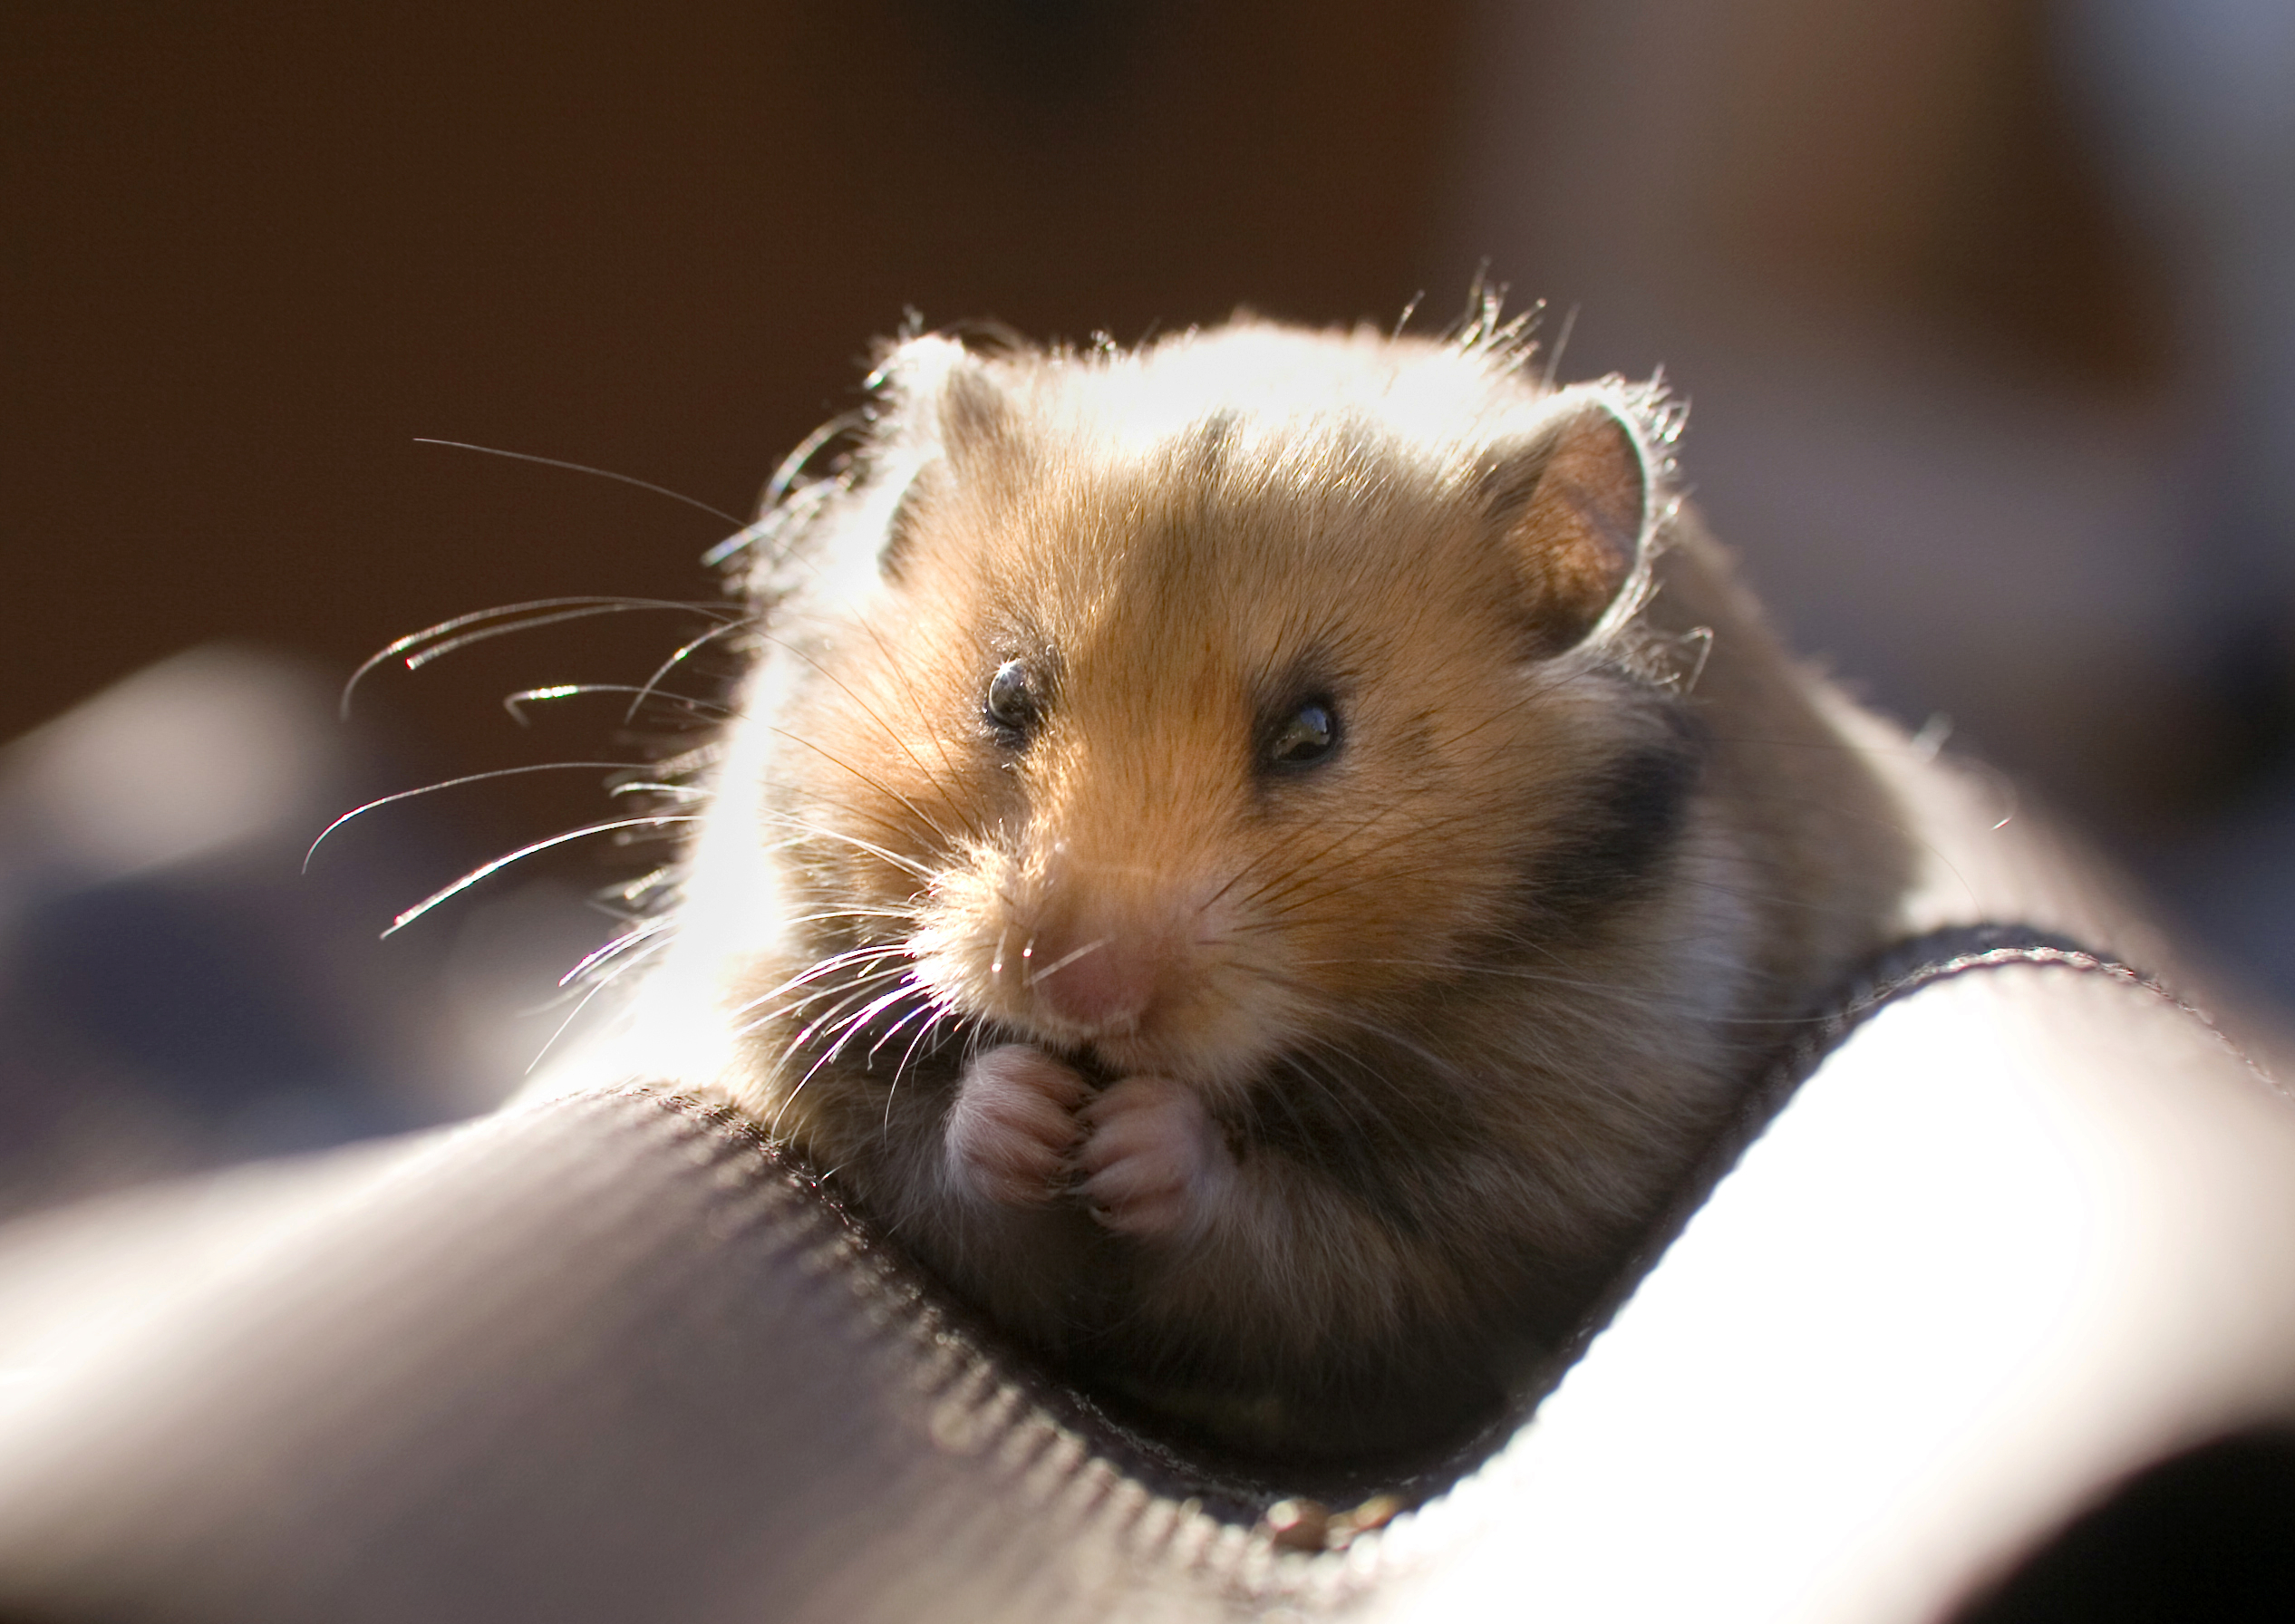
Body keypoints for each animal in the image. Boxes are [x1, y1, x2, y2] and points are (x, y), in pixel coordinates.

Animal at [643, 310, 1913, 1460]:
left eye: (1313, 733)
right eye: (1005, 694)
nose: (1082, 994)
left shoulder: (1523, 1192)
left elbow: (1300, 1253)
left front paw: (1131, 1139)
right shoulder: (781, 1010)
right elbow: (930, 1162)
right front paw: (1028, 1107)